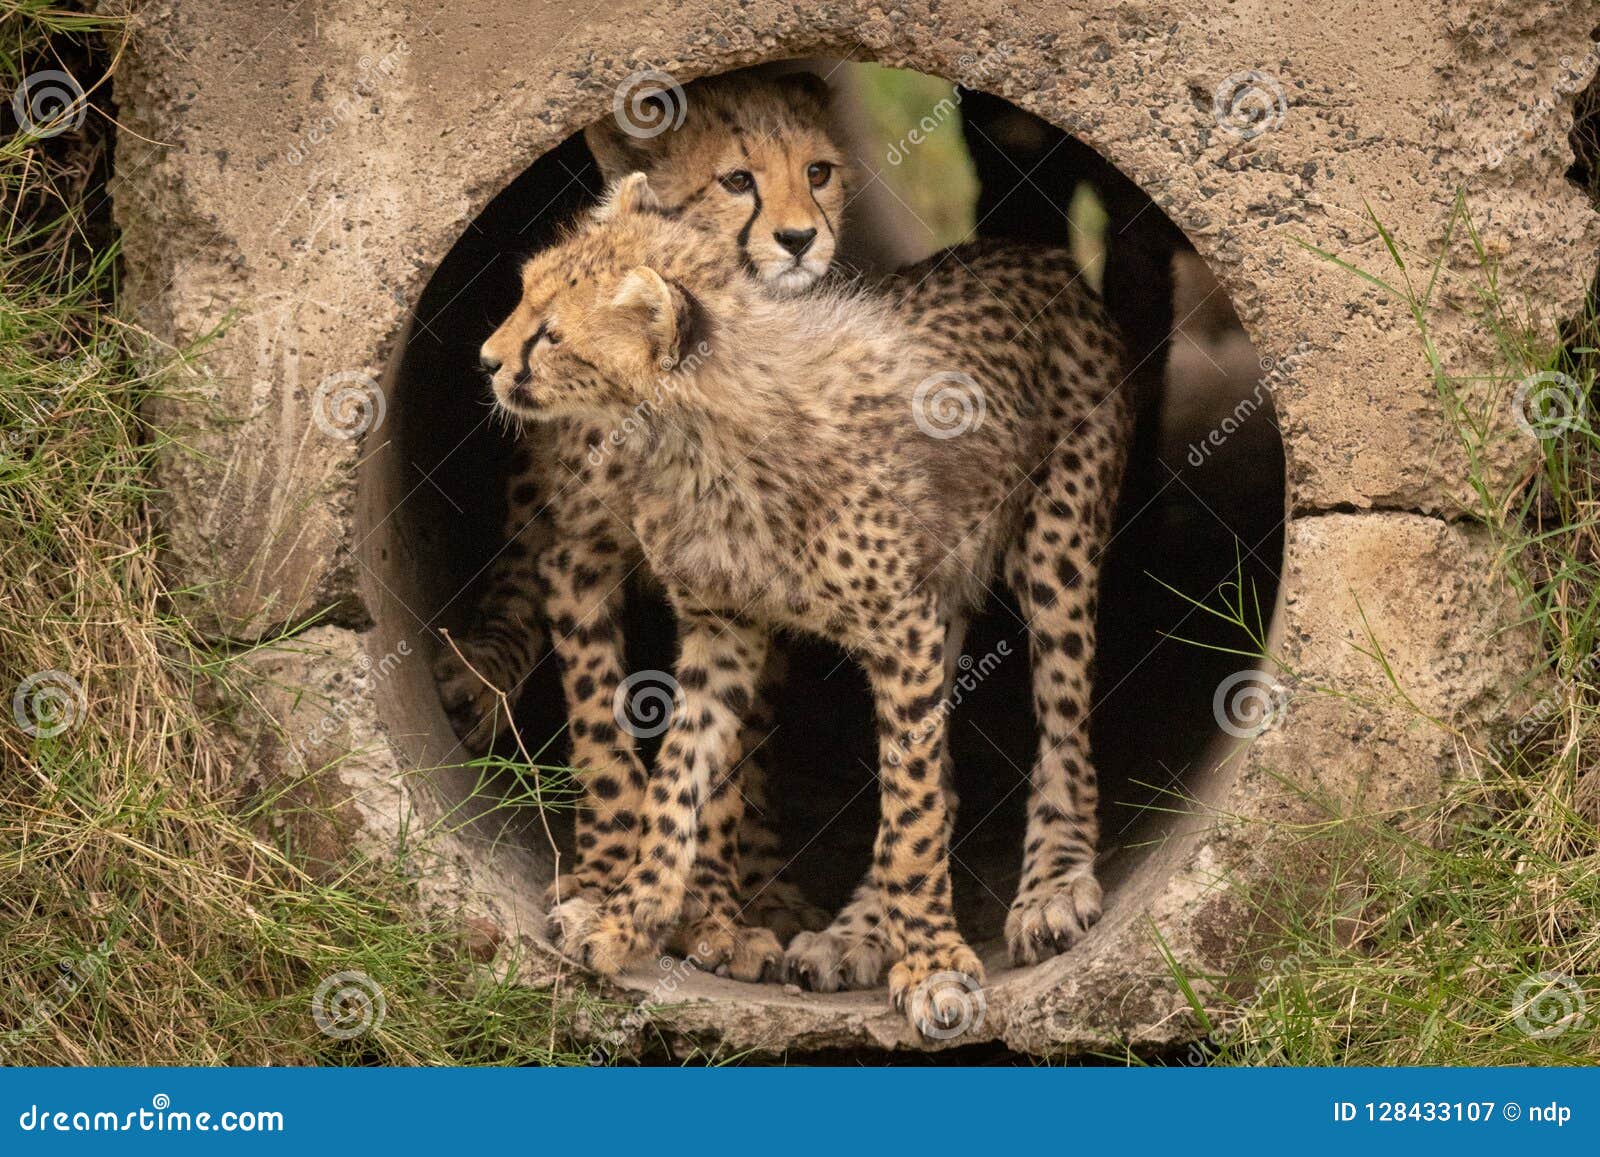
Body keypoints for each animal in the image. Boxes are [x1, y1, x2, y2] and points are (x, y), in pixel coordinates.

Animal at [476, 170, 1130, 1035]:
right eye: (524, 296)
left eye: (551, 335)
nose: (487, 360)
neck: (690, 436)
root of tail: (1038, 255)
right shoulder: (725, 628)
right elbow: (676, 779)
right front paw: (630, 916)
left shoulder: (897, 626)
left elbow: (911, 811)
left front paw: (932, 963)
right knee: (942, 773)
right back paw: (854, 932)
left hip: (1055, 543)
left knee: (1061, 731)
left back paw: (1050, 886)